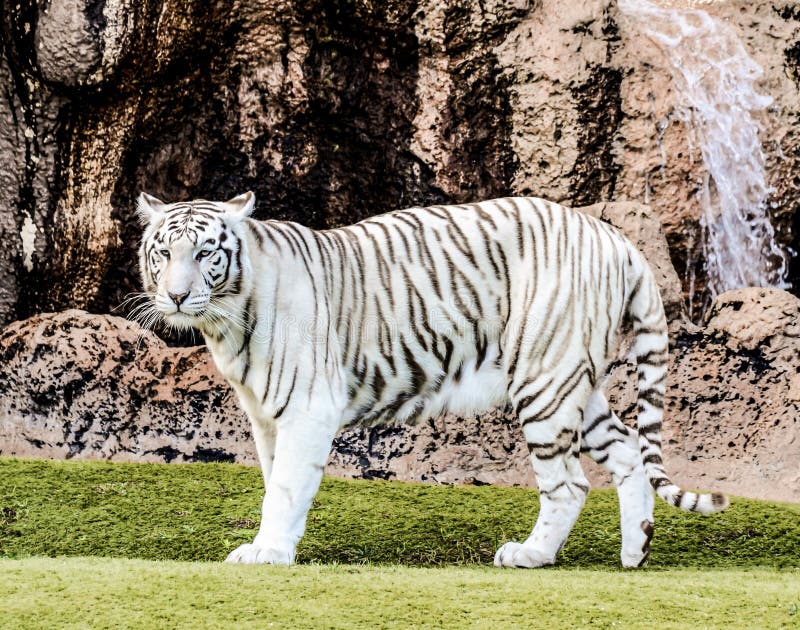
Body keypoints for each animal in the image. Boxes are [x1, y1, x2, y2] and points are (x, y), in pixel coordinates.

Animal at [137, 191, 727, 568]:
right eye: (163, 252)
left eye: (205, 253)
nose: (177, 296)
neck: (227, 321)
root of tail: (617, 238)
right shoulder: (265, 416)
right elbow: (272, 480)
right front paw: (273, 545)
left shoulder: (306, 409)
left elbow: (283, 487)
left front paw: (268, 553)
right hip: (571, 380)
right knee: (627, 453)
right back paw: (636, 551)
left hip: (544, 379)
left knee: (569, 484)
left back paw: (531, 555)